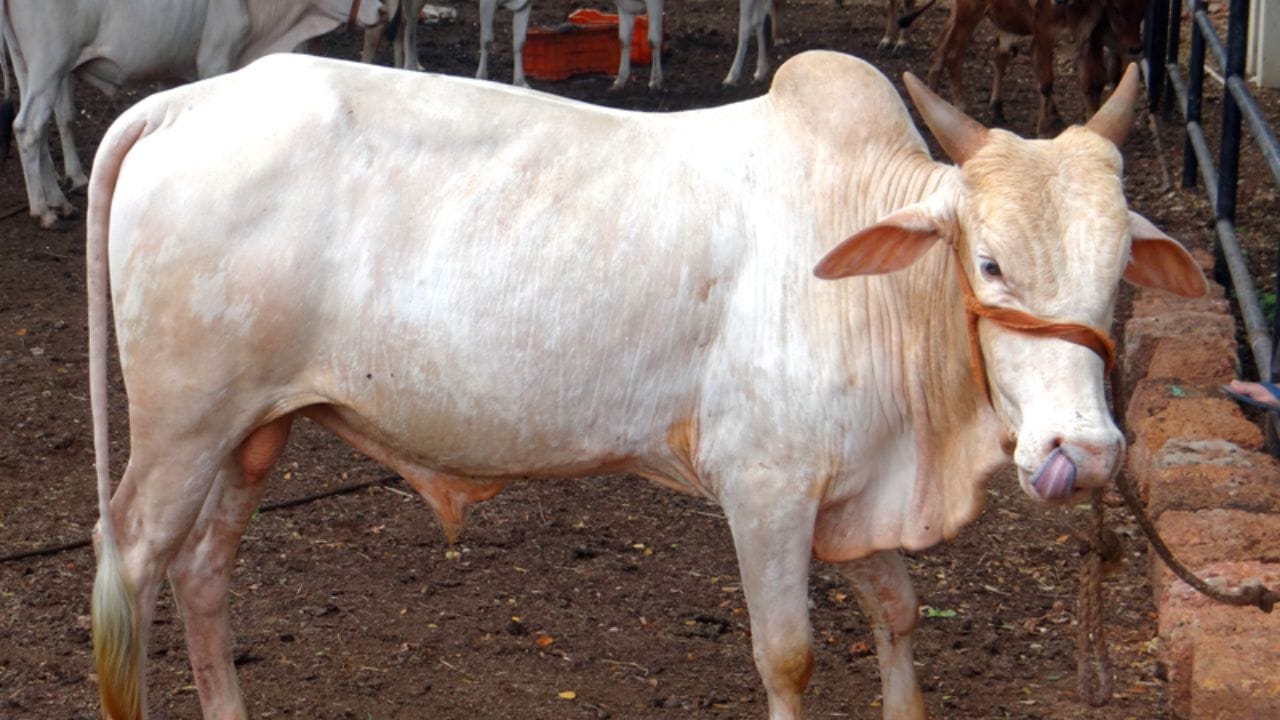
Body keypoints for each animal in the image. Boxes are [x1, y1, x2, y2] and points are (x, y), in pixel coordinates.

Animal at [0, 0, 386, 229]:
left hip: (30, 65)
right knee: (28, 127)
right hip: (50, 61)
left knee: (38, 127)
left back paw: (58, 199)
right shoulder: (216, 58)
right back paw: (44, 210)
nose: (383, 11)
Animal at [85, 51, 1206, 720]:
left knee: (204, 572)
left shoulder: (853, 496)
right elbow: (787, 654)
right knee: (132, 557)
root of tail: (190, 99)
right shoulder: (764, 490)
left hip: (255, 428)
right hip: (183, 426)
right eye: (989, 263)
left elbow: (895, 617)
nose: (1084, 452)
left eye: (1116, 270)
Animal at [918, 0, 1146, 136]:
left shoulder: (1089, 34)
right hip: (969, 12)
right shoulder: (1043, 31)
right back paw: (961, 107)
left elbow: (1092, 82)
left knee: (941, 50)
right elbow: (1046, 82)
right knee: (954, 54)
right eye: (1117, 10)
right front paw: (1043, 130)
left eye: (1142, 11)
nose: (1135, 47)